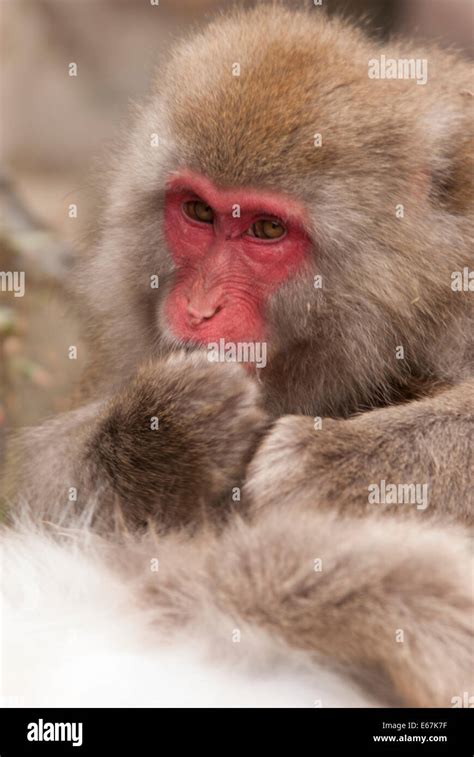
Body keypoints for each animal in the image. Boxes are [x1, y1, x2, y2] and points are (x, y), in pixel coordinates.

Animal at [3, 5, 473, 708]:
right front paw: (168, 432)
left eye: (266, 229)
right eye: (198, 212)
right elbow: (28, 489)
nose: (199, 309)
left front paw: (324, 464)